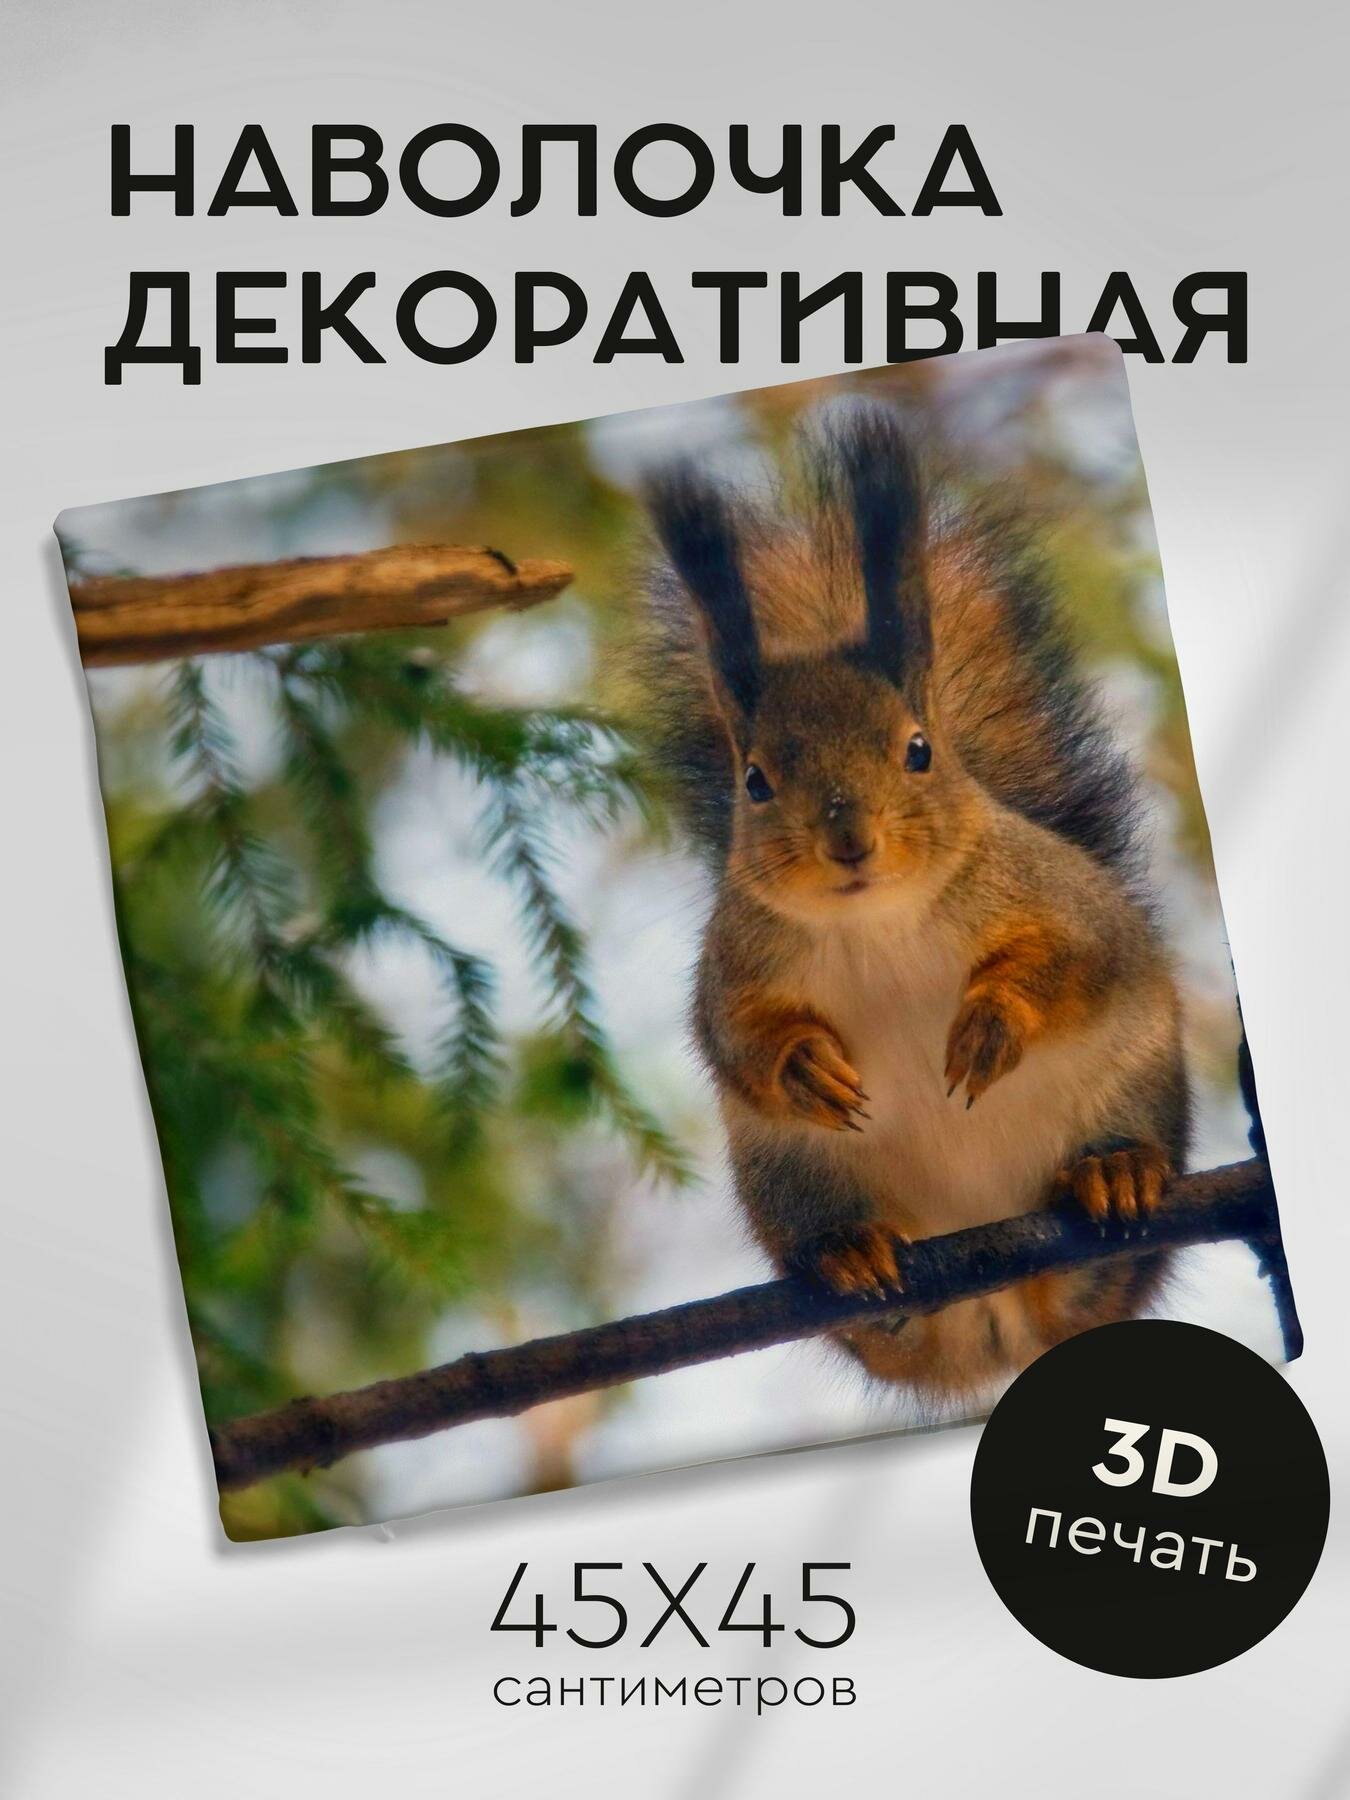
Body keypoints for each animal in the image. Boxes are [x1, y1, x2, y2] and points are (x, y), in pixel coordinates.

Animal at [639, 403, 1190, 1403]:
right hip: (791, 1176)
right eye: (755, 781)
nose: (849, 842)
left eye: (919, 750)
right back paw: (853, 1256)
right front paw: (805, 1068)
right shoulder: (736, 961)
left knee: (1102, 1262)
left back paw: (1116, 1175)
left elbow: (1075, 960)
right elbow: (735, 1038)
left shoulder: (1059, 896)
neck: (877, 920)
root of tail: (998, 1321)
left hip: (1130, 1086)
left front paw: (991, 1023)